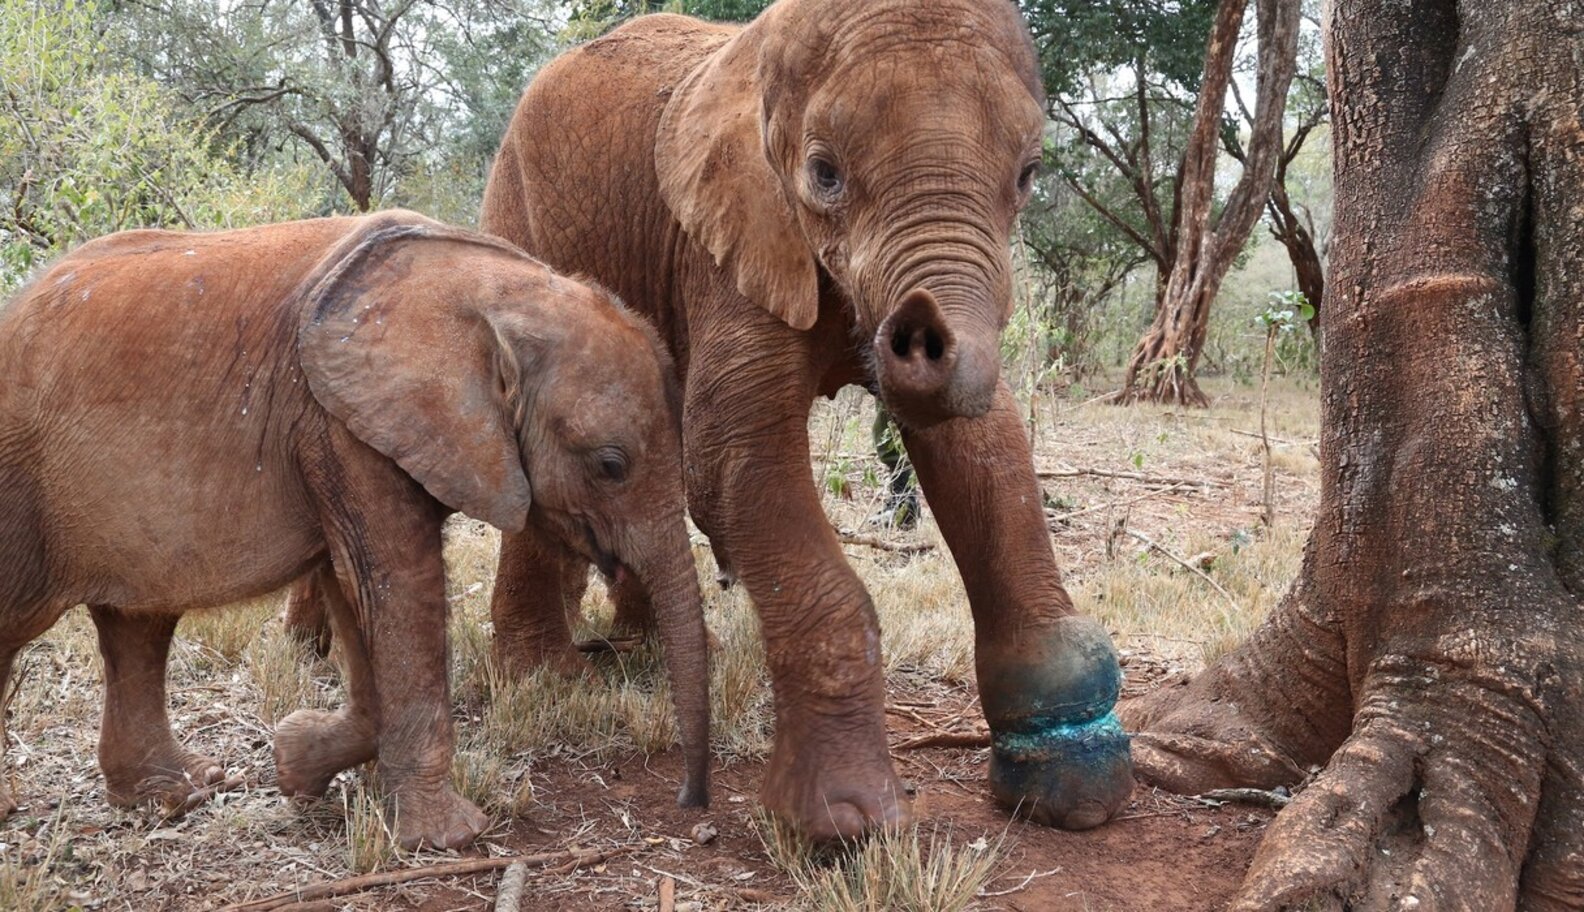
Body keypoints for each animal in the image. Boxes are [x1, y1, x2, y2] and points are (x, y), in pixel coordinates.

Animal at [0, 210, 710, 850]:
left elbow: (356, 587)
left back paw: (183, 789)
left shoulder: (346, 427)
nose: (691, 806)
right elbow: (397, 580)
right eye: (610, 465)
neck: (498, 289)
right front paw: (451, 839)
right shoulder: (339, 425)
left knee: (138, 626)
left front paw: (296, 765)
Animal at [473, 0, 1133, 841]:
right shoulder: (729, 240)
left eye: (1027, 176)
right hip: (515, 214)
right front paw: (843, 827)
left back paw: (642, 655)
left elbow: (985, 446)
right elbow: (733, 457)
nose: (915, 336)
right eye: (824, 174)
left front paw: (1074, 782)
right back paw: (544, 679)